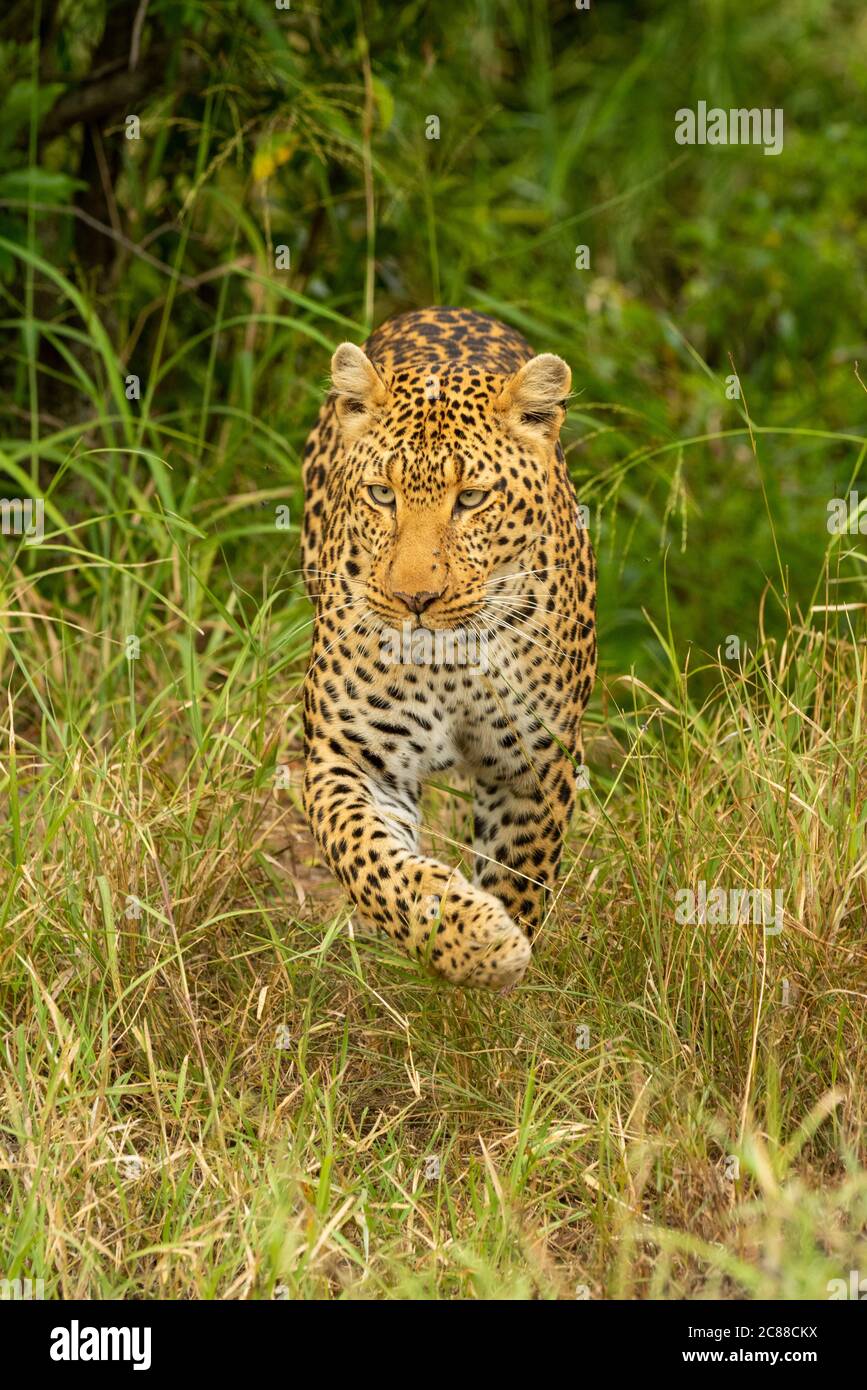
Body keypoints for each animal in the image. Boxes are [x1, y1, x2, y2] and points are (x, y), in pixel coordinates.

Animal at [300, 306, 596, 990]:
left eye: (471, 499)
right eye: (382, 495)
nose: (415, 598)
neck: (450, 663)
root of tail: (444, 310)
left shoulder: (533, 769)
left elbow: (521, 876)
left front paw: (496, 988)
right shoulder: (350, 759)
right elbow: (375, 862)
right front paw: (475, 942)